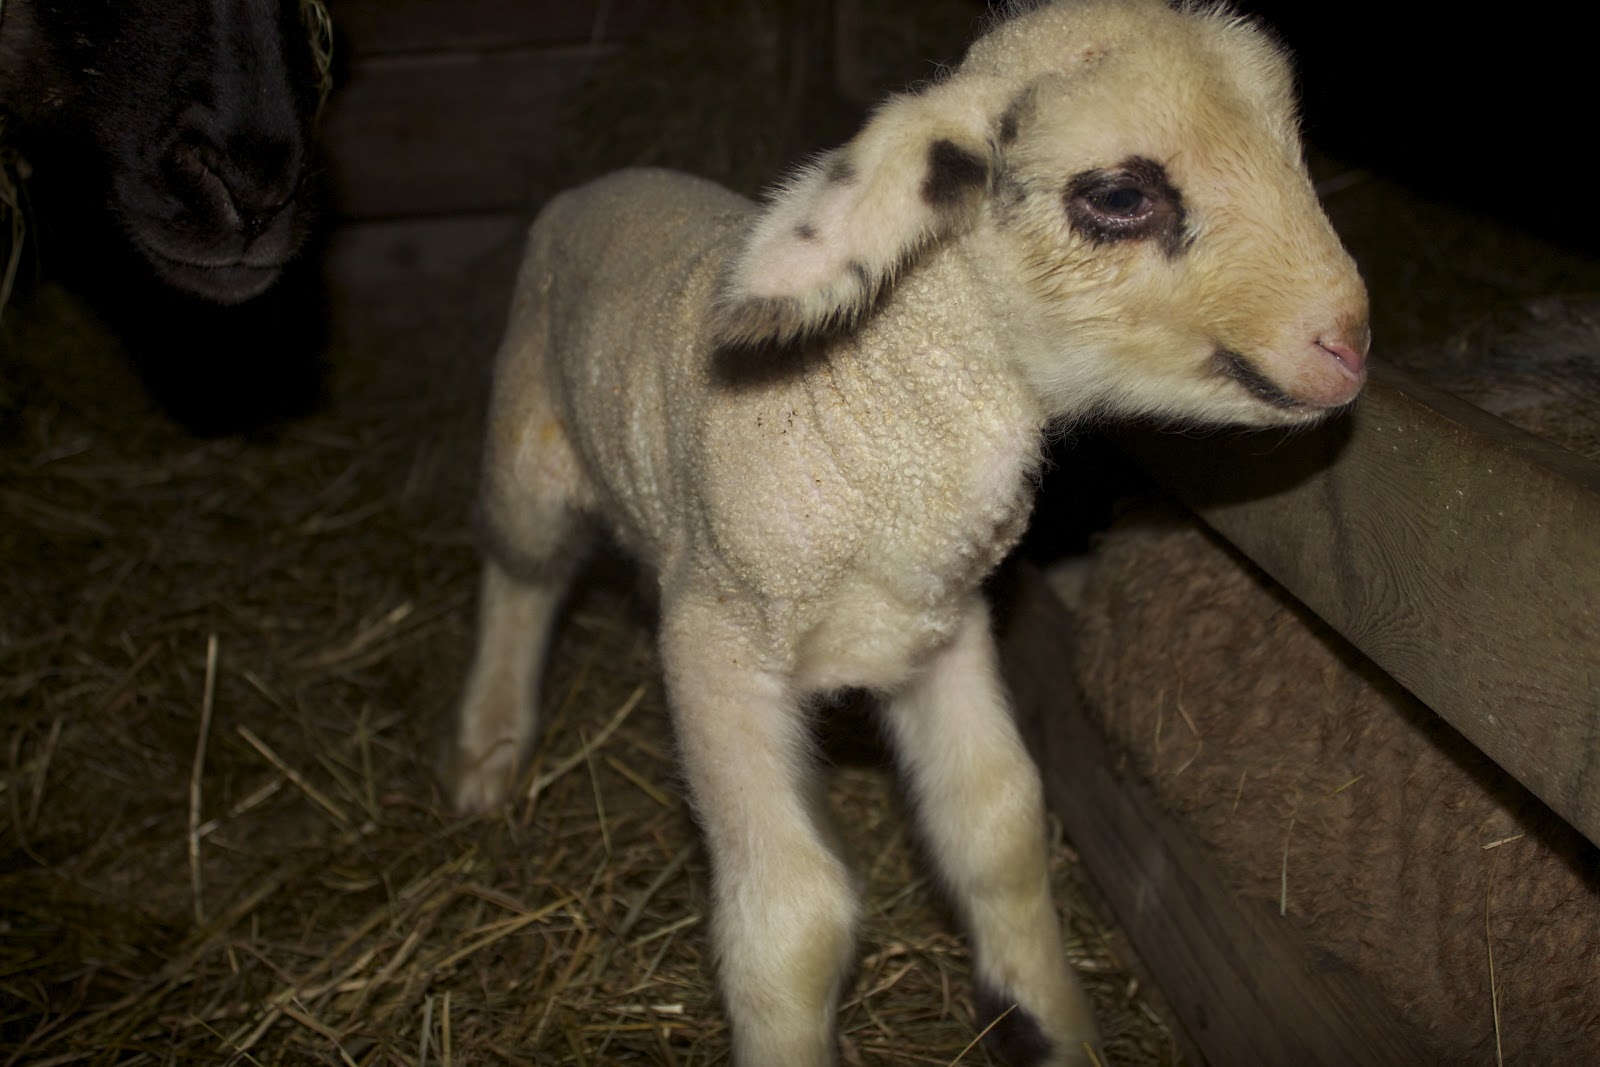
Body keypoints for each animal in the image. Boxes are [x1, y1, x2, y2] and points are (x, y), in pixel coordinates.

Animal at [448, 1, 1370, 1063]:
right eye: (1121, 195)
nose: (1350, 341)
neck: (867, 412)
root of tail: (603, 179)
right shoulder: (717, 648)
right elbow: (794, 915)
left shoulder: (941, 631)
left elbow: (1001, 828)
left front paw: (1052, 1021)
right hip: (528, 445)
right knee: (519, 572)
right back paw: (485, 756)